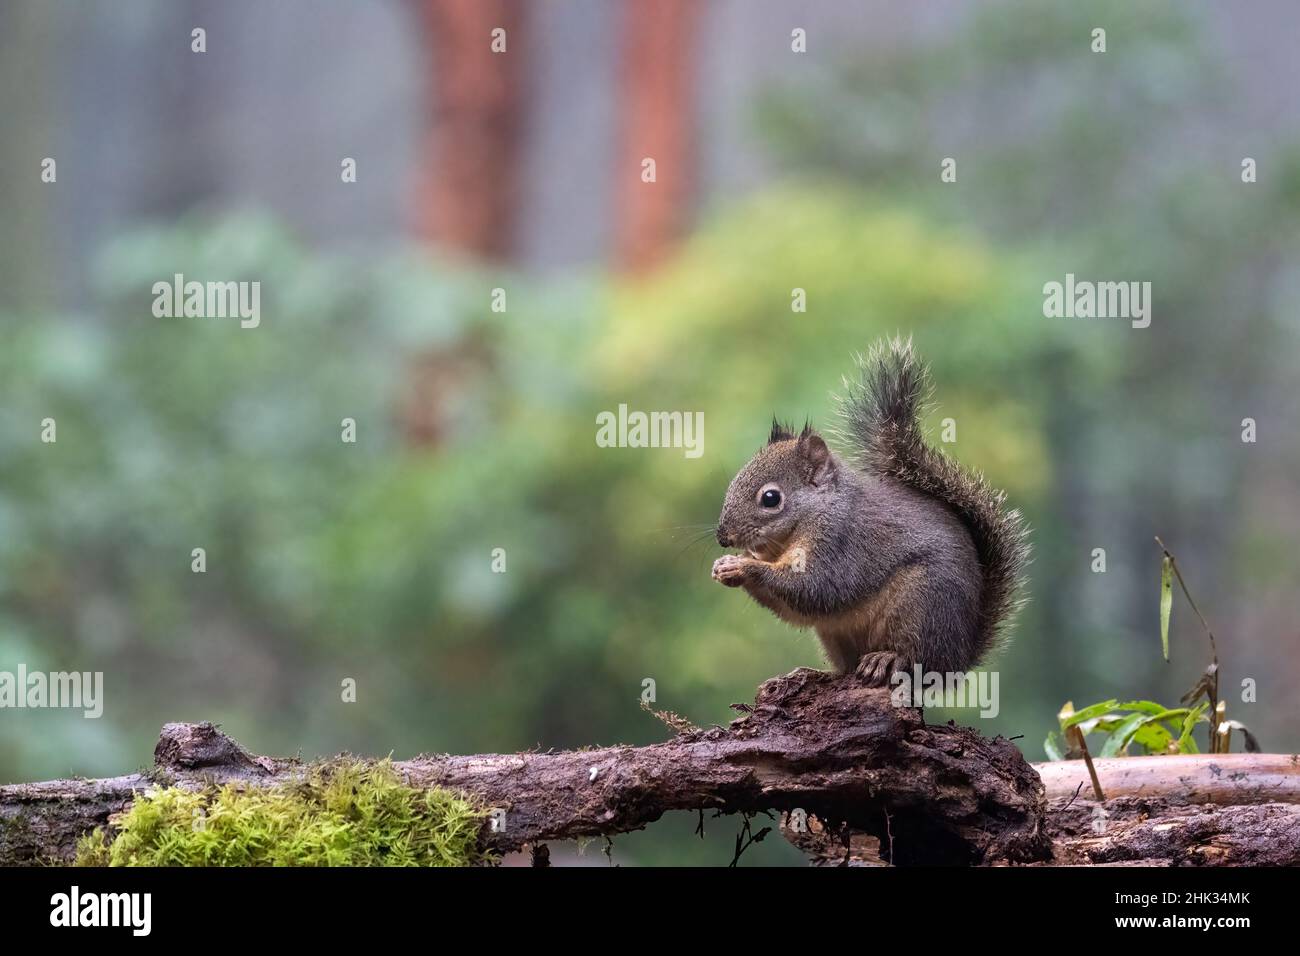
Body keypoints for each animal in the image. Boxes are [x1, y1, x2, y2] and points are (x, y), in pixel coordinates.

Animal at [711, 337, 1029, 686]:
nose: (723, 537)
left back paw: (887, 659)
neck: (813, 514)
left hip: (920, 605)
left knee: (916, 660)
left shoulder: (840, 541)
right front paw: (725, 566)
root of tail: (958, 661)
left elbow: (814, 588)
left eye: (770, 498)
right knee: (847, 667)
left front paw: (743, 566)